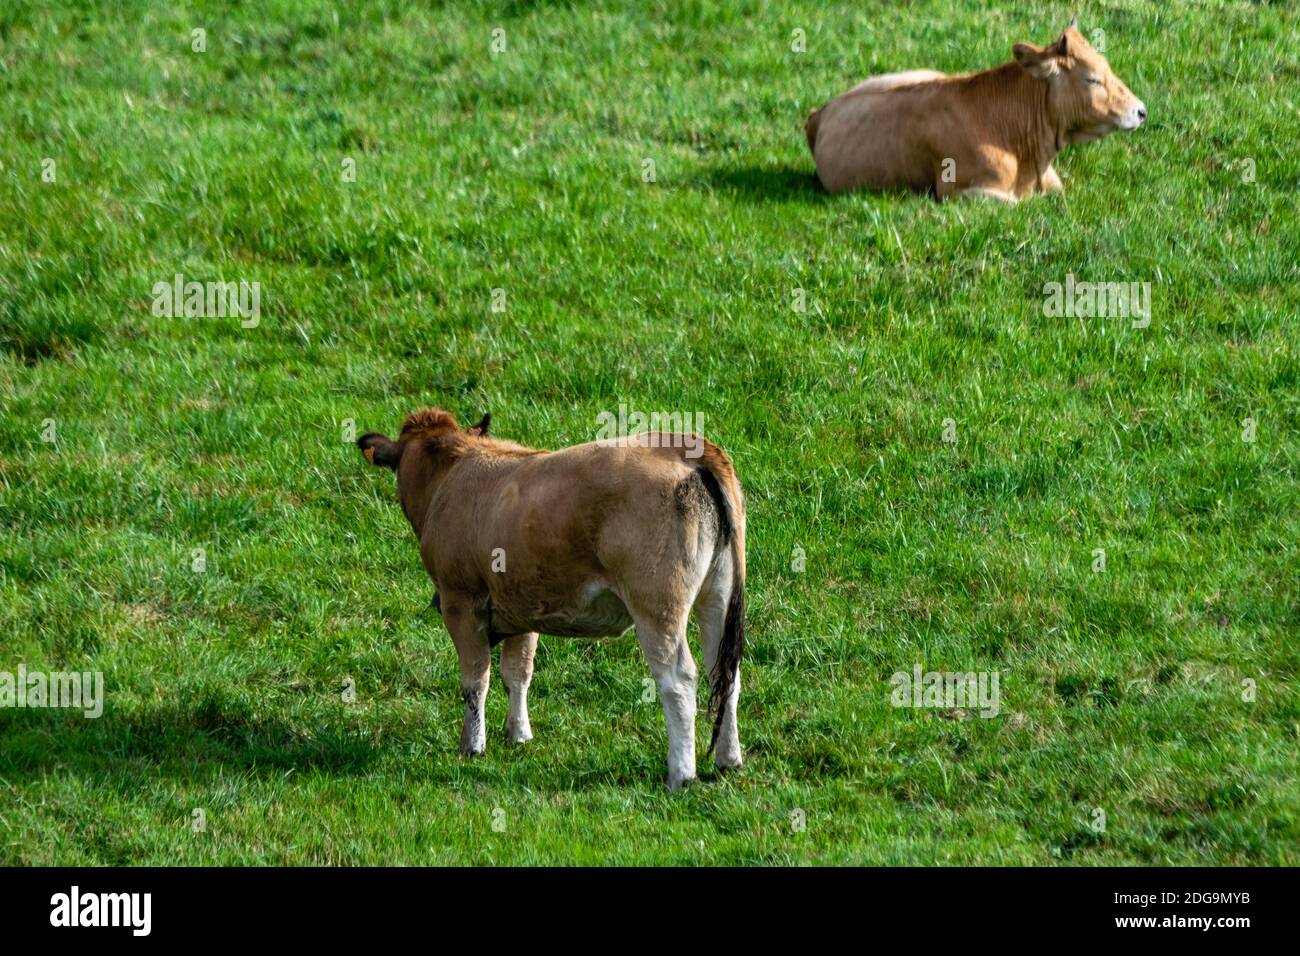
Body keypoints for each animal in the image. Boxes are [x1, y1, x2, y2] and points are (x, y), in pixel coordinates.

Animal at [357, 409, 746, 791]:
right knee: (724, 672)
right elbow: (518, 671)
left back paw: (681, 775)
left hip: (657, 604)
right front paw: (519, 734)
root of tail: (681, 446)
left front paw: (473, 746)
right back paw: (728, 761)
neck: (451, 473)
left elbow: (476, 679)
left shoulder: (460, 602)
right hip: (718, 596)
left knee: (678, 681)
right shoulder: (520, 604)